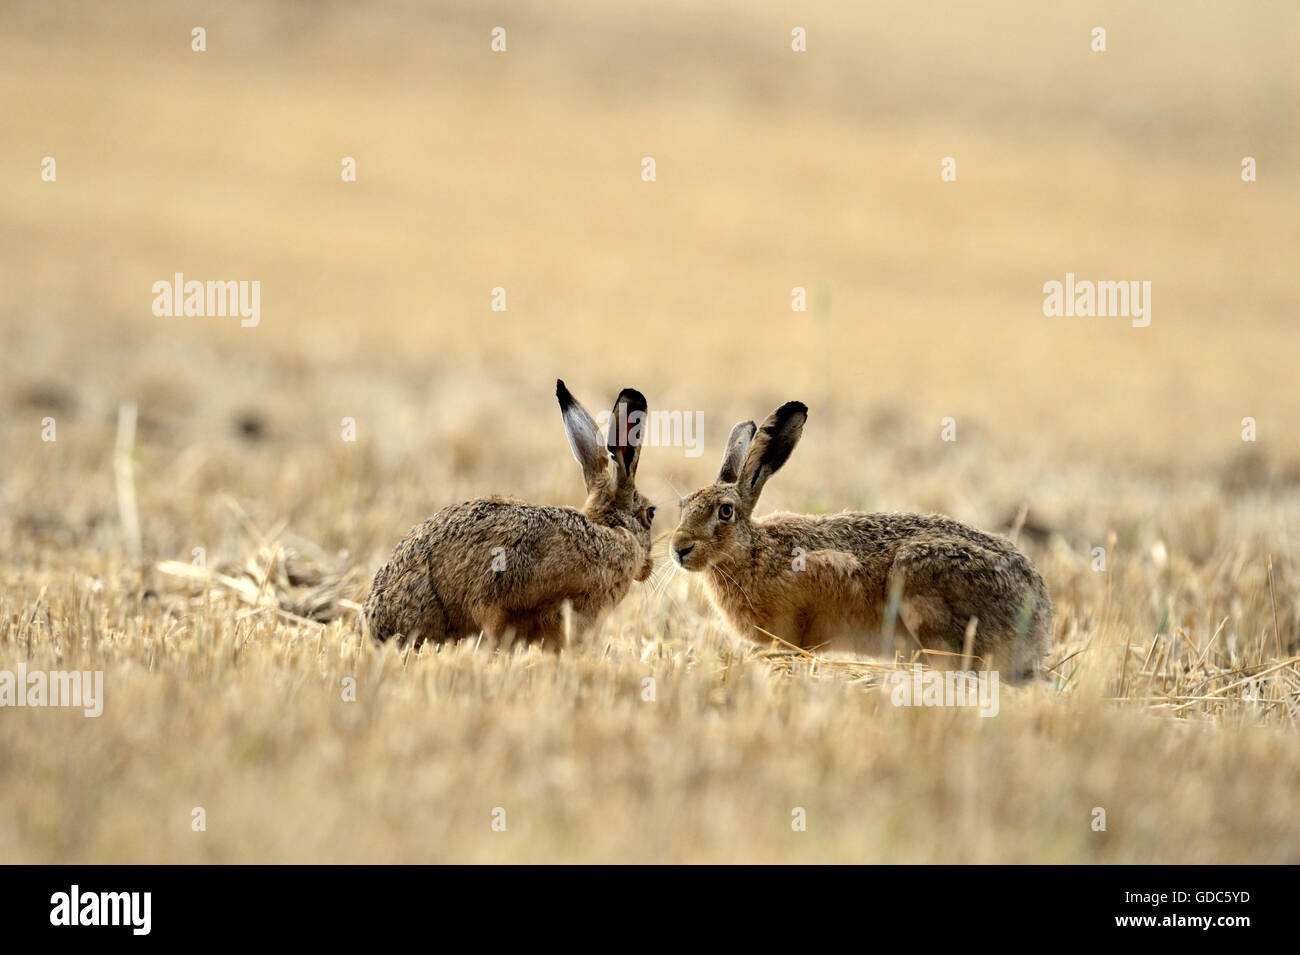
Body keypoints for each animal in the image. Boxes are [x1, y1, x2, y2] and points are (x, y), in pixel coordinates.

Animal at [669, 401, 1053, 678]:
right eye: (683, 505)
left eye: (725, 511)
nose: (679, 549)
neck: (752, 550)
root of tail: (1040, 626)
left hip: (919, 585)